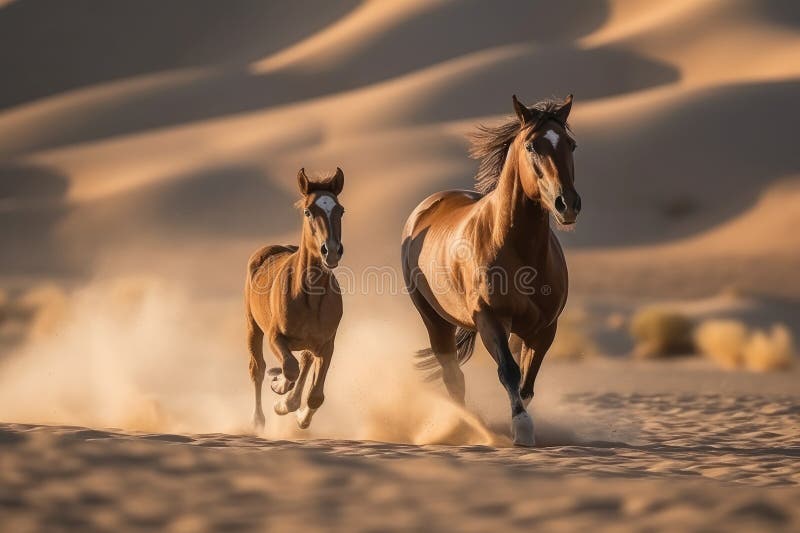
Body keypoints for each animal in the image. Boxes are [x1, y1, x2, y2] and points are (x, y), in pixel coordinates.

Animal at [245, 167, 345, 431]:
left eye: (340, 210)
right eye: (308, 211)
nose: (331, 251)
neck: (311, 297)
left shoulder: (327, 344)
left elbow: (315, 395)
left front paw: (296, 412)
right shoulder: (274, 336)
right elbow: (289, 369)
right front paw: (279, 387)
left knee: (305, 361)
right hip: (252, 327)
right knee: (257, 369)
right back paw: (258, 420)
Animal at [401, 95, 580, 446]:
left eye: (571, 144)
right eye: (532, 145)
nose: (567, 204)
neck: (520, 251)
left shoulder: (544, 329)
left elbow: (526, 382)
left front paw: (519, 424)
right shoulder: (490, 319)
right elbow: (509, 372)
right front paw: (522, 429)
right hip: (434, 319)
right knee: (453, 378)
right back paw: (461, 428)